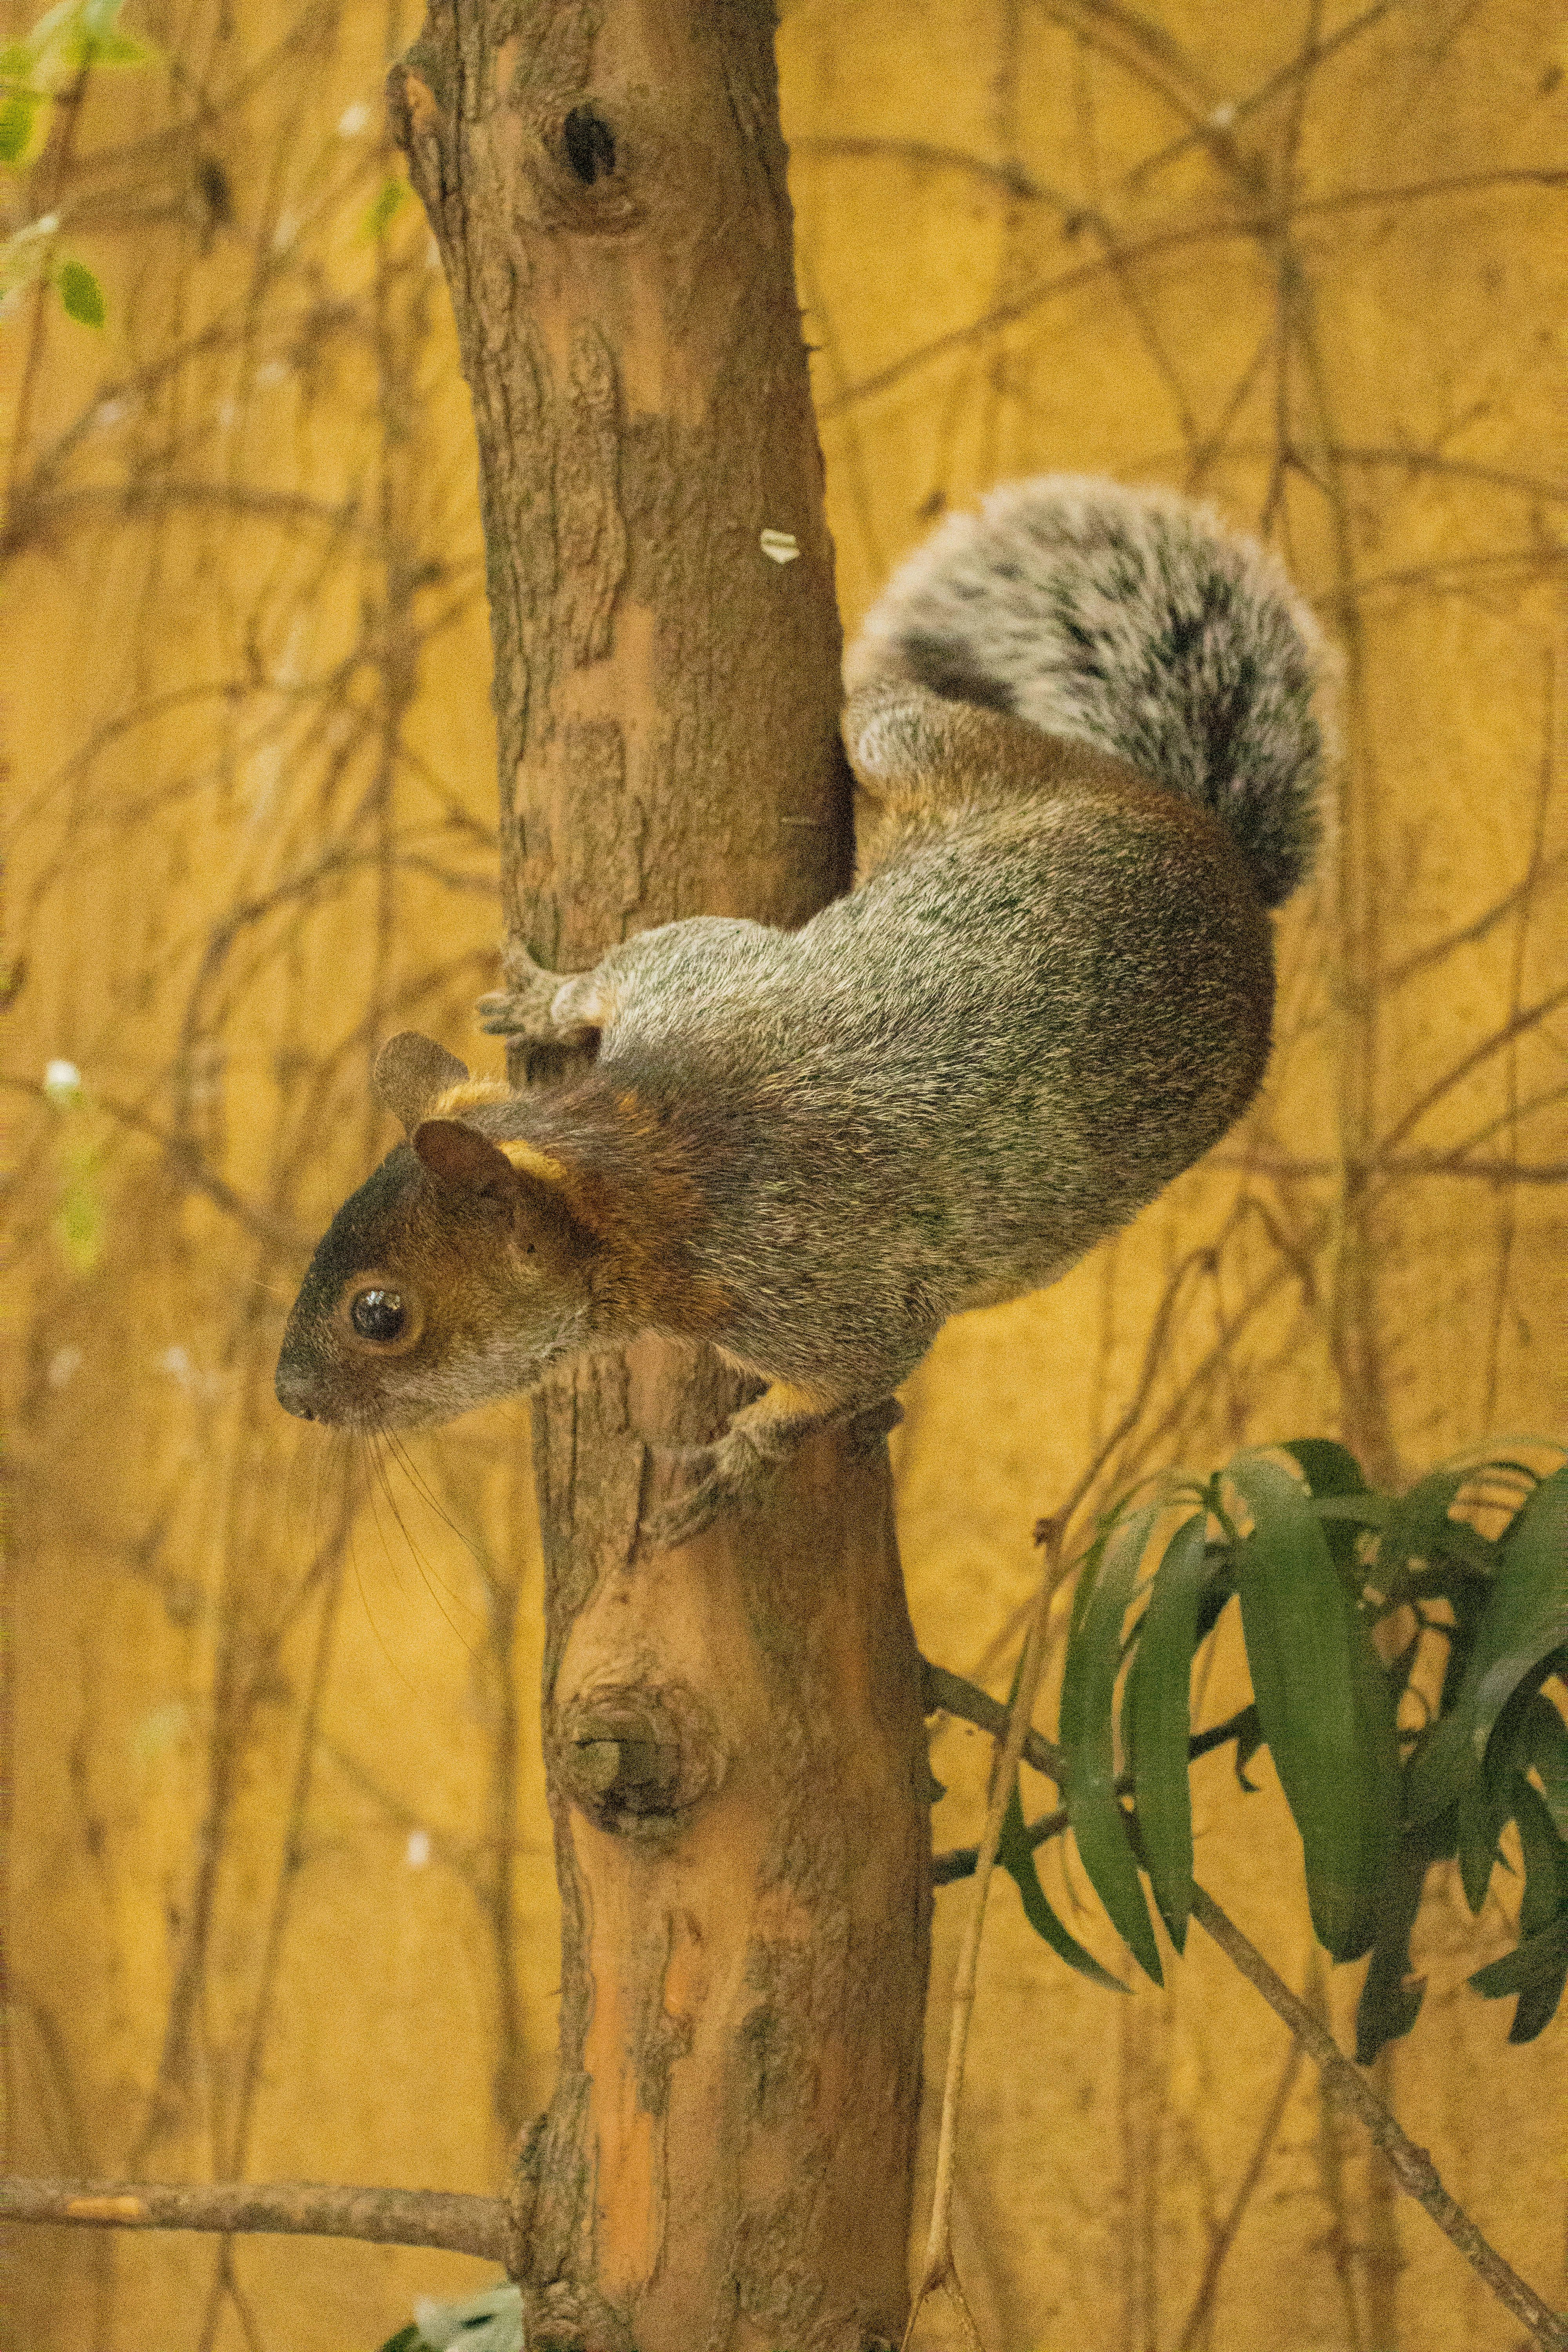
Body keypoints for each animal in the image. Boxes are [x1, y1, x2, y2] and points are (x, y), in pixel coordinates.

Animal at [275, 475, 1328, 1545]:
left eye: (379, 1315)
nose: (290, 1398)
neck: (640, 1152)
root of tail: (1217, 854)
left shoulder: (819, 1294)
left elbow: (834, 1383)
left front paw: (740, 1460)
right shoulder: (690, 976)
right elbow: (634, 964)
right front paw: (542, 1003)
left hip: (922, 752)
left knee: (887, 720)